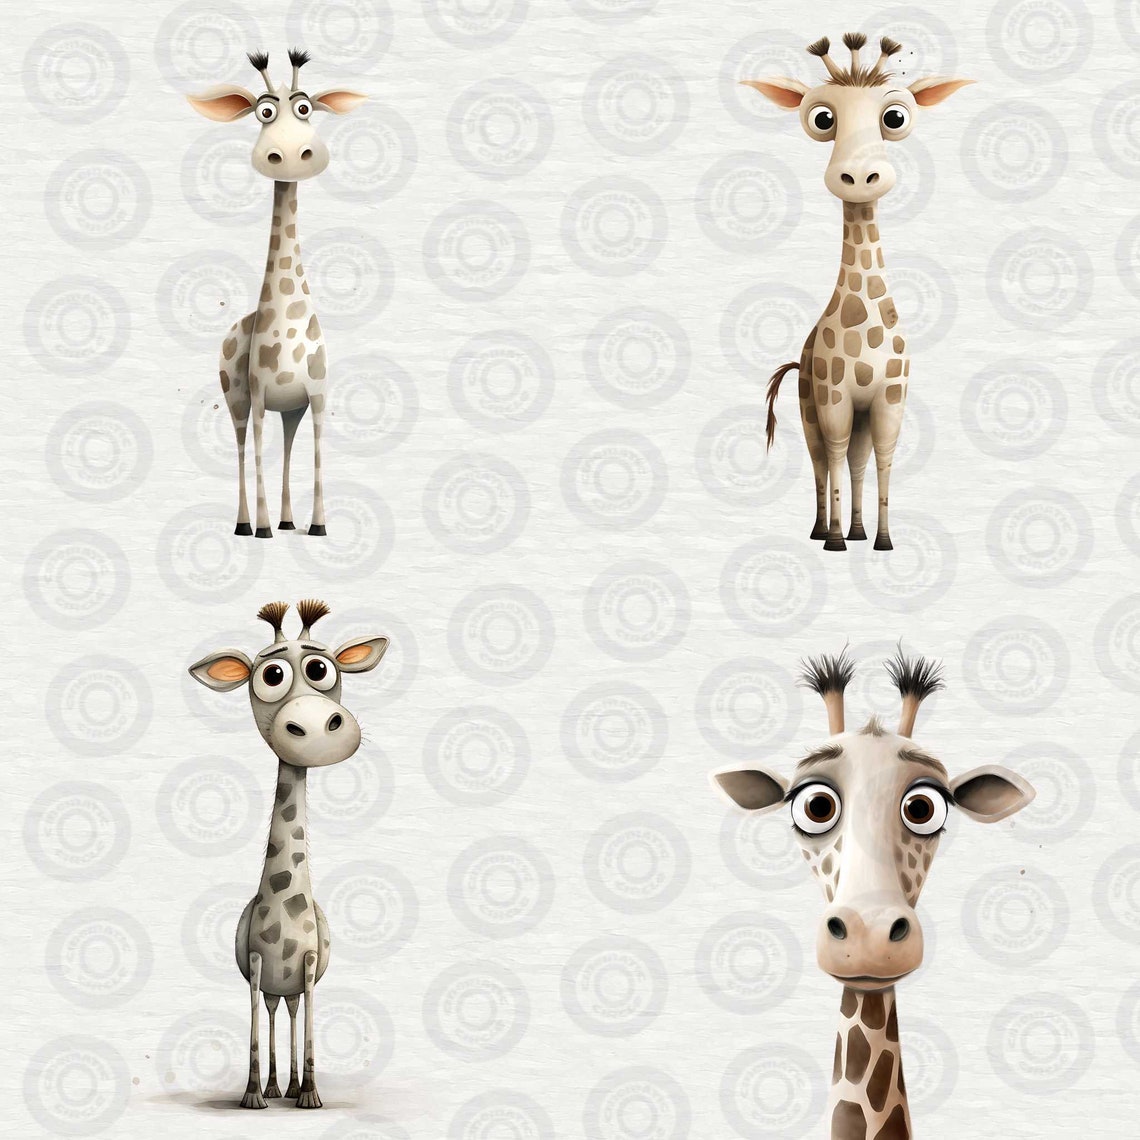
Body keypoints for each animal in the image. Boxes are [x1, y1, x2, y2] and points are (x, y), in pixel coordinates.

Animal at [187, 50, 366, 538]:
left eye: (305, 108)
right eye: (263, 112)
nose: (287, 155)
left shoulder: (316, 398)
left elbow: (317, 455)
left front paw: (317, 525)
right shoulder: (260, 397)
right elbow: (258, 455)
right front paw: (262, 528)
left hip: (291, 409)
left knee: (288, 448)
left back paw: (288, 521)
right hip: (235, 397)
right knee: (242, 448)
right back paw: (248, 524)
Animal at [189, 599, 390, 1109]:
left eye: (322, 669)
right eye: (272, 675)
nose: (317, 728)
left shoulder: (310, 966)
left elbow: (314, 1017)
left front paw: (312, 1094)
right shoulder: (256, 966)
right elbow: (254, 1021)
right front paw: (252, 1095)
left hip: (295, 985)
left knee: (295, 1011)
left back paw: (295, 1085)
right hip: (272, 987)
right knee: (275, 1011)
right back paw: (275, 1085)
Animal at [743, 34, 972, 550]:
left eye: (895, 118)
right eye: (822, 119)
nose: (860, 176)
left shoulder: (889, 401)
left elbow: (881, 460)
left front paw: (880, 538)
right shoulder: (835, 400)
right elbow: (833, 453)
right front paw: (833, 540)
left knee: (856, 462)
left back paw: (857, 528)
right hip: (808, 405)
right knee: (820, 461)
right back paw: (821, 530)